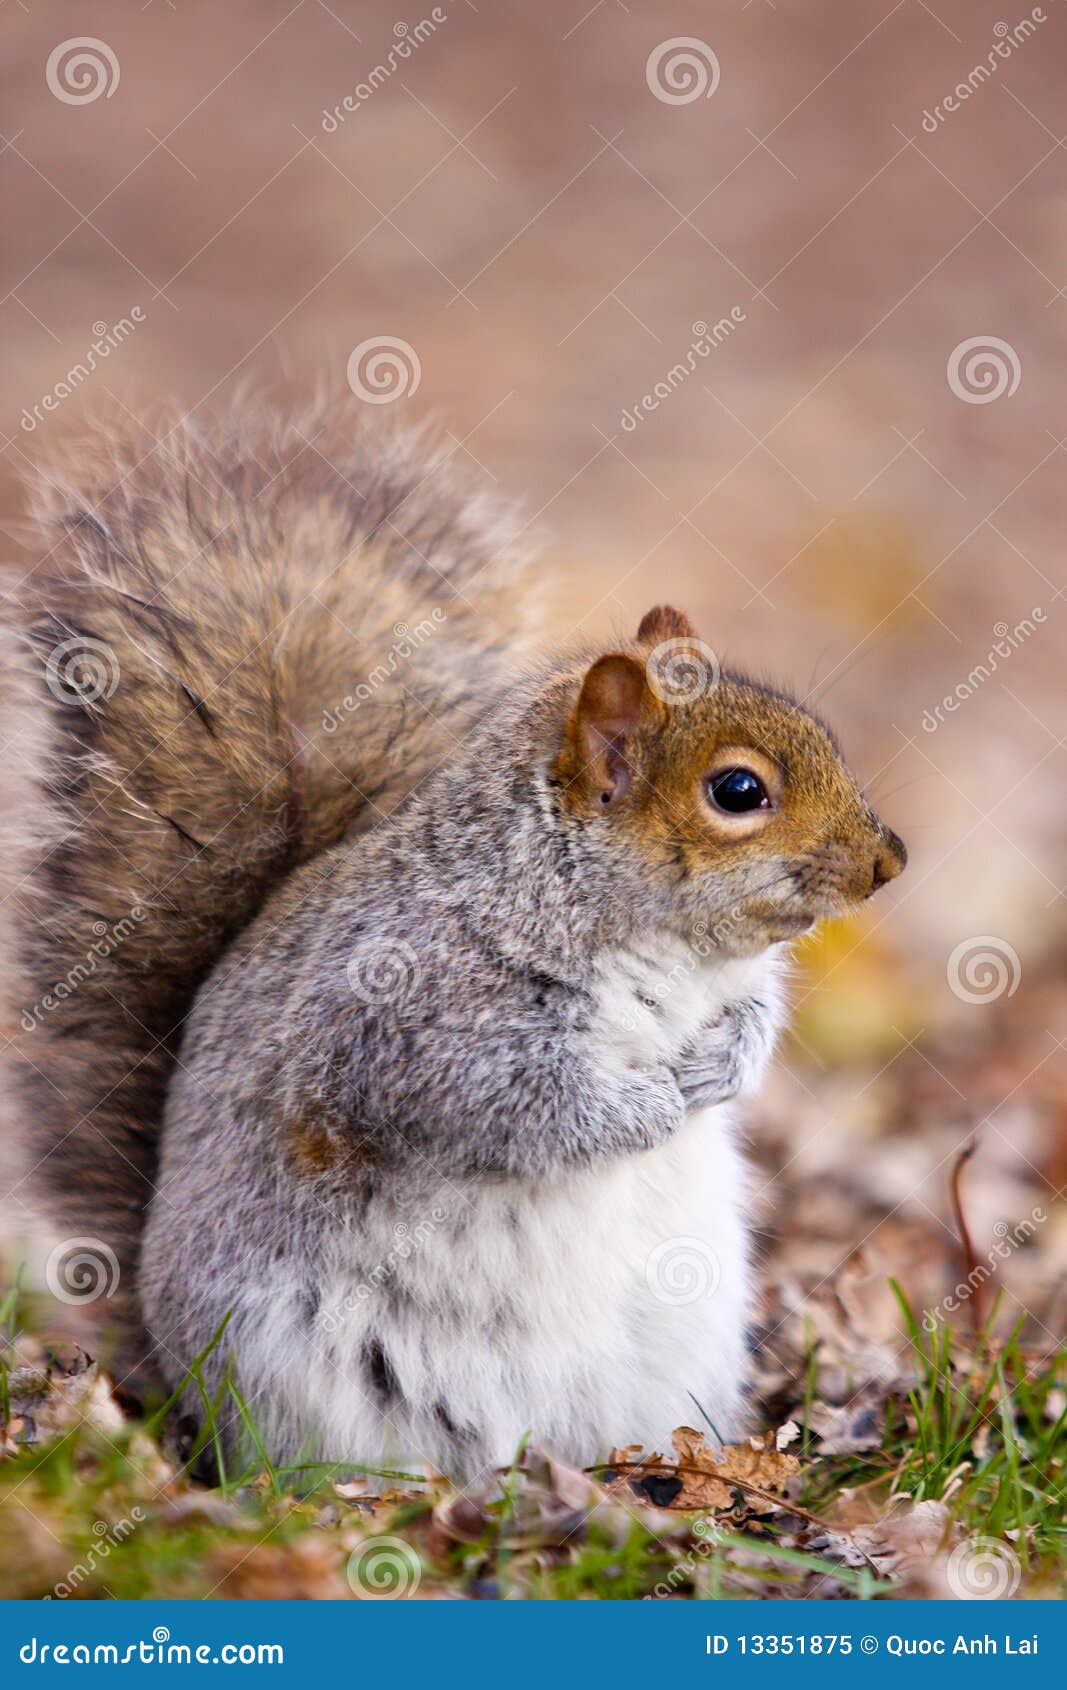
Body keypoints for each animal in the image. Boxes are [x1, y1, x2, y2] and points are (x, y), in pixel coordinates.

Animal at [8, 404, 905, 1478]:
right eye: (738, 790)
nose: (888, 859)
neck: (666, 946)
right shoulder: (399, 1014)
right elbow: (504, 1103)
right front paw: (645, 1106)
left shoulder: (732, 979)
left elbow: (755, 1014)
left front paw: (720, 1064)